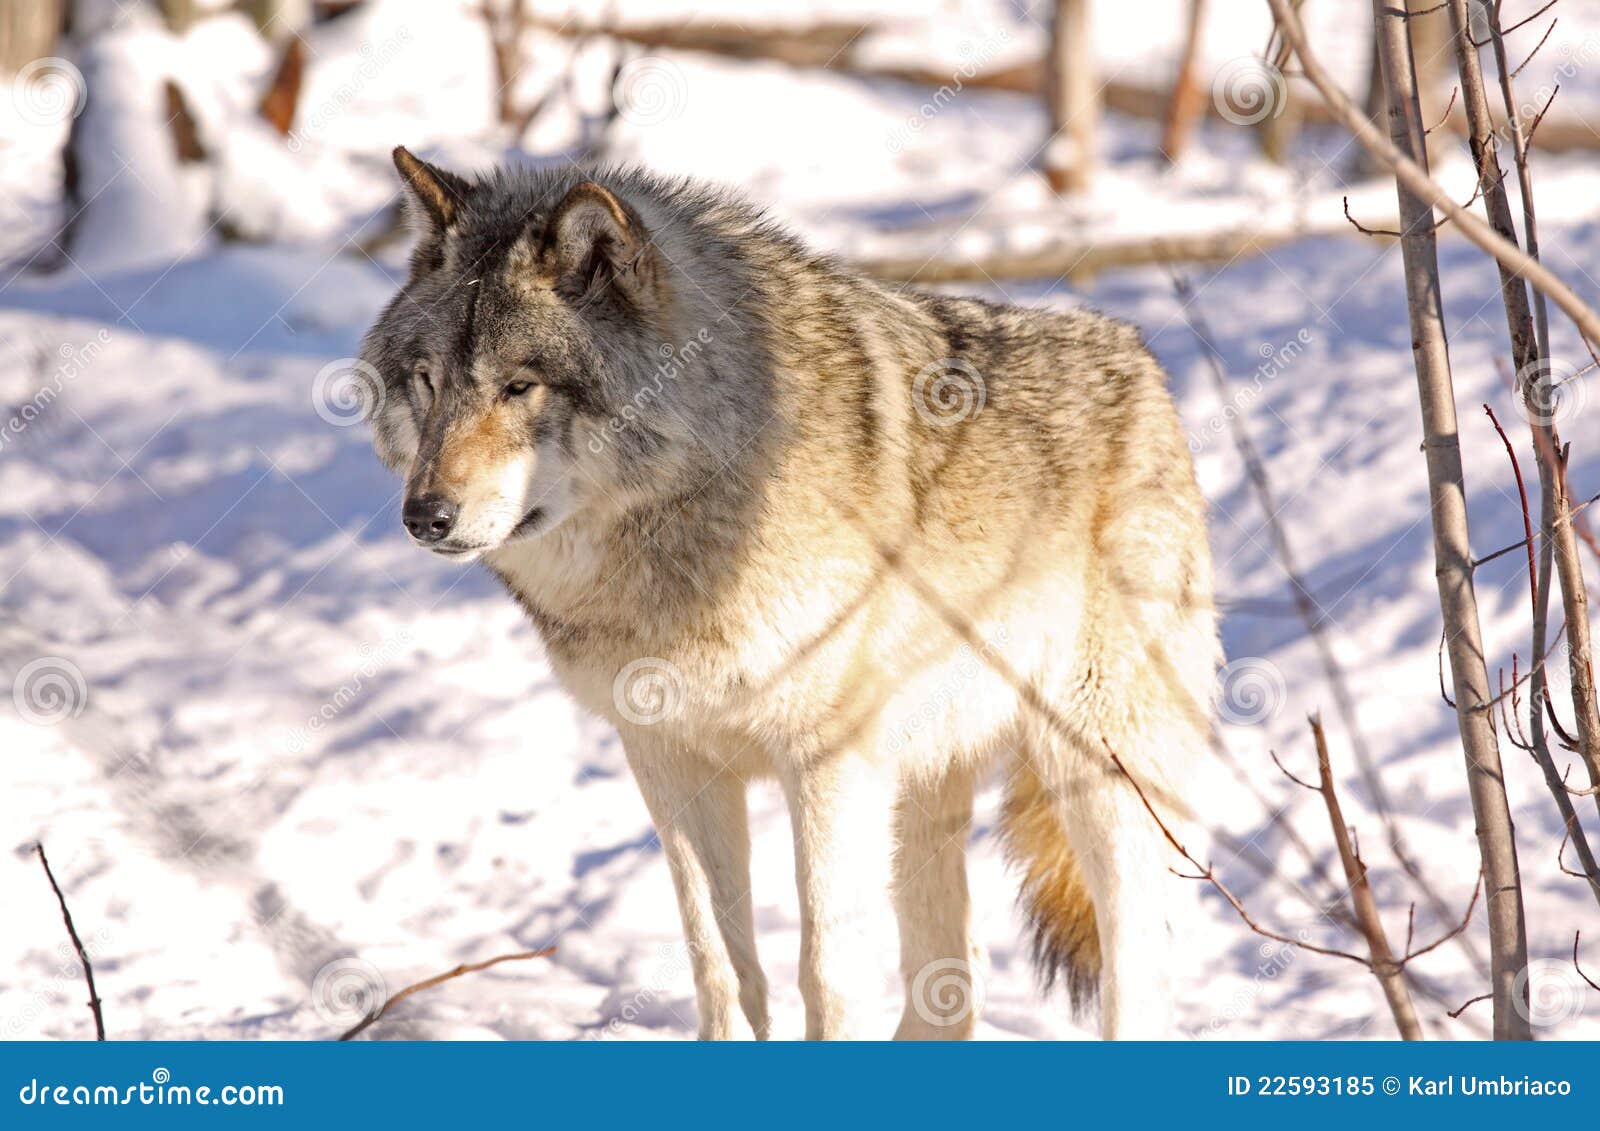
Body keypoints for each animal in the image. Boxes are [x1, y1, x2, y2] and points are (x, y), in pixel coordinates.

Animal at [359, 147, 1219, 1040]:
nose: (424, 515)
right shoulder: (669, 759)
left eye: (520, 386)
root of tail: (1141, 358)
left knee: (1137, 970)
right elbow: (720, 964)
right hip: (922, 788)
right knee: (956, 982)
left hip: (1100, 775)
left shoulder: (826, 762)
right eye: (426, 381)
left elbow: (825, 972)